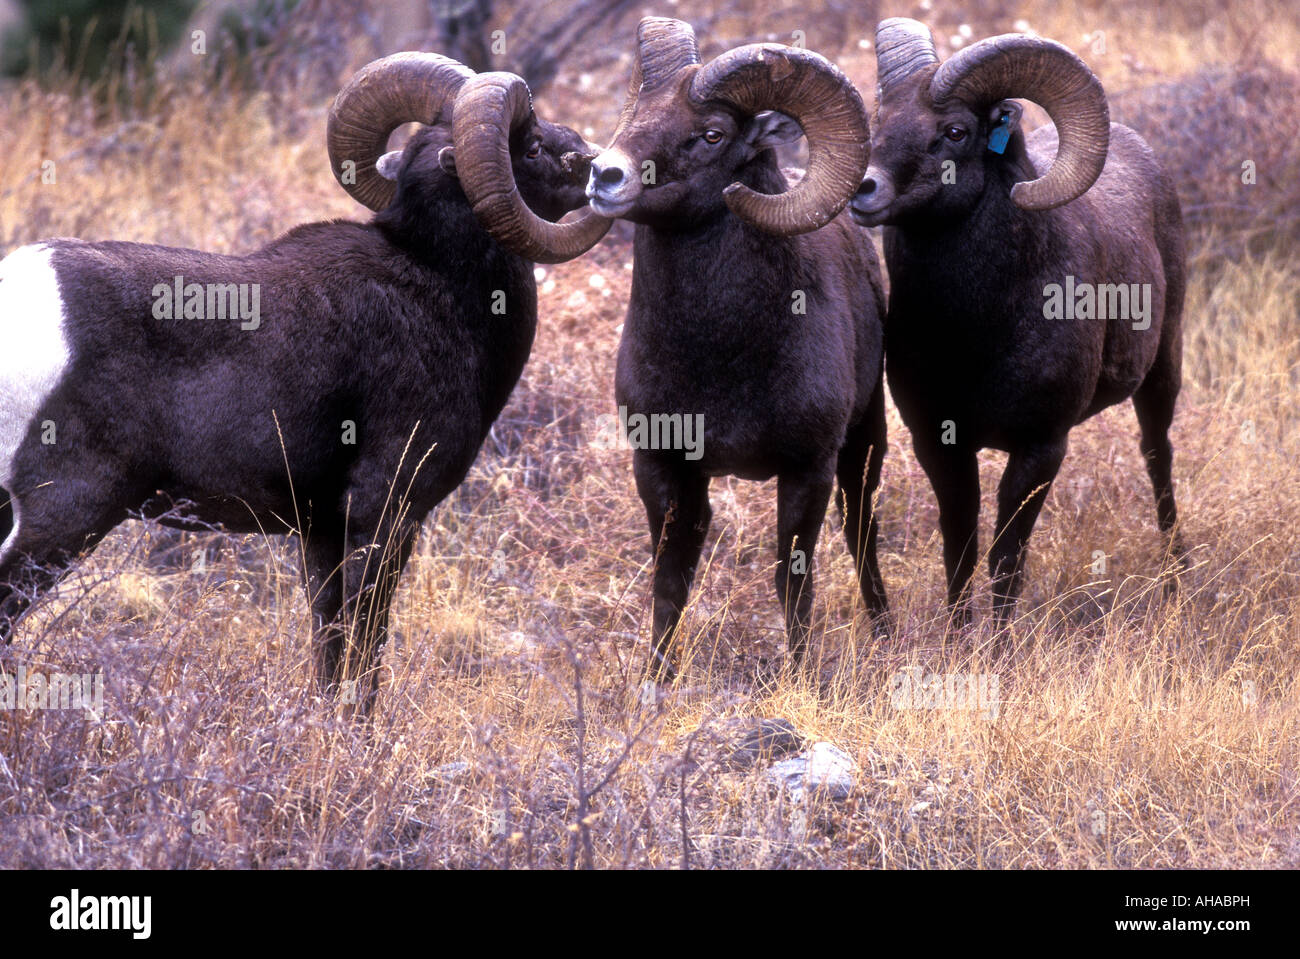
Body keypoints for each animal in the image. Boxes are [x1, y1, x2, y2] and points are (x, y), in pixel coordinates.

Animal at [0, 53, 609, 709]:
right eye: (533, 146)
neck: (444, 286)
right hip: (63, 516)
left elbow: (329, 648)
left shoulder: (320, 532)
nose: (598, 165)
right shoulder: (382, 516)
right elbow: (364, 651)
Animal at [577, 17, 889, 680]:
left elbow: (793, 584)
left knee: (862, 529)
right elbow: (670, 582)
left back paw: (885, 631)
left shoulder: (807, 470)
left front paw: (801, 679)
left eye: (712, 134)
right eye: (636, 111)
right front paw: (657, 680)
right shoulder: (662, 468)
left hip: (866, 440)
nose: (604, 176)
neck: (722, 360)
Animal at [848, 19, 1185, 627]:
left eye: (955, 131)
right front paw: (960, 637)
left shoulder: (1040, 448)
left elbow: (1006, 561)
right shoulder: (940, 443)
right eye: (878, 116)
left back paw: (1177, 579)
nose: (865, 189)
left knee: (1158, 457)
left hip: (1162, 374)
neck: (976, 335)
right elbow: (959, 548)